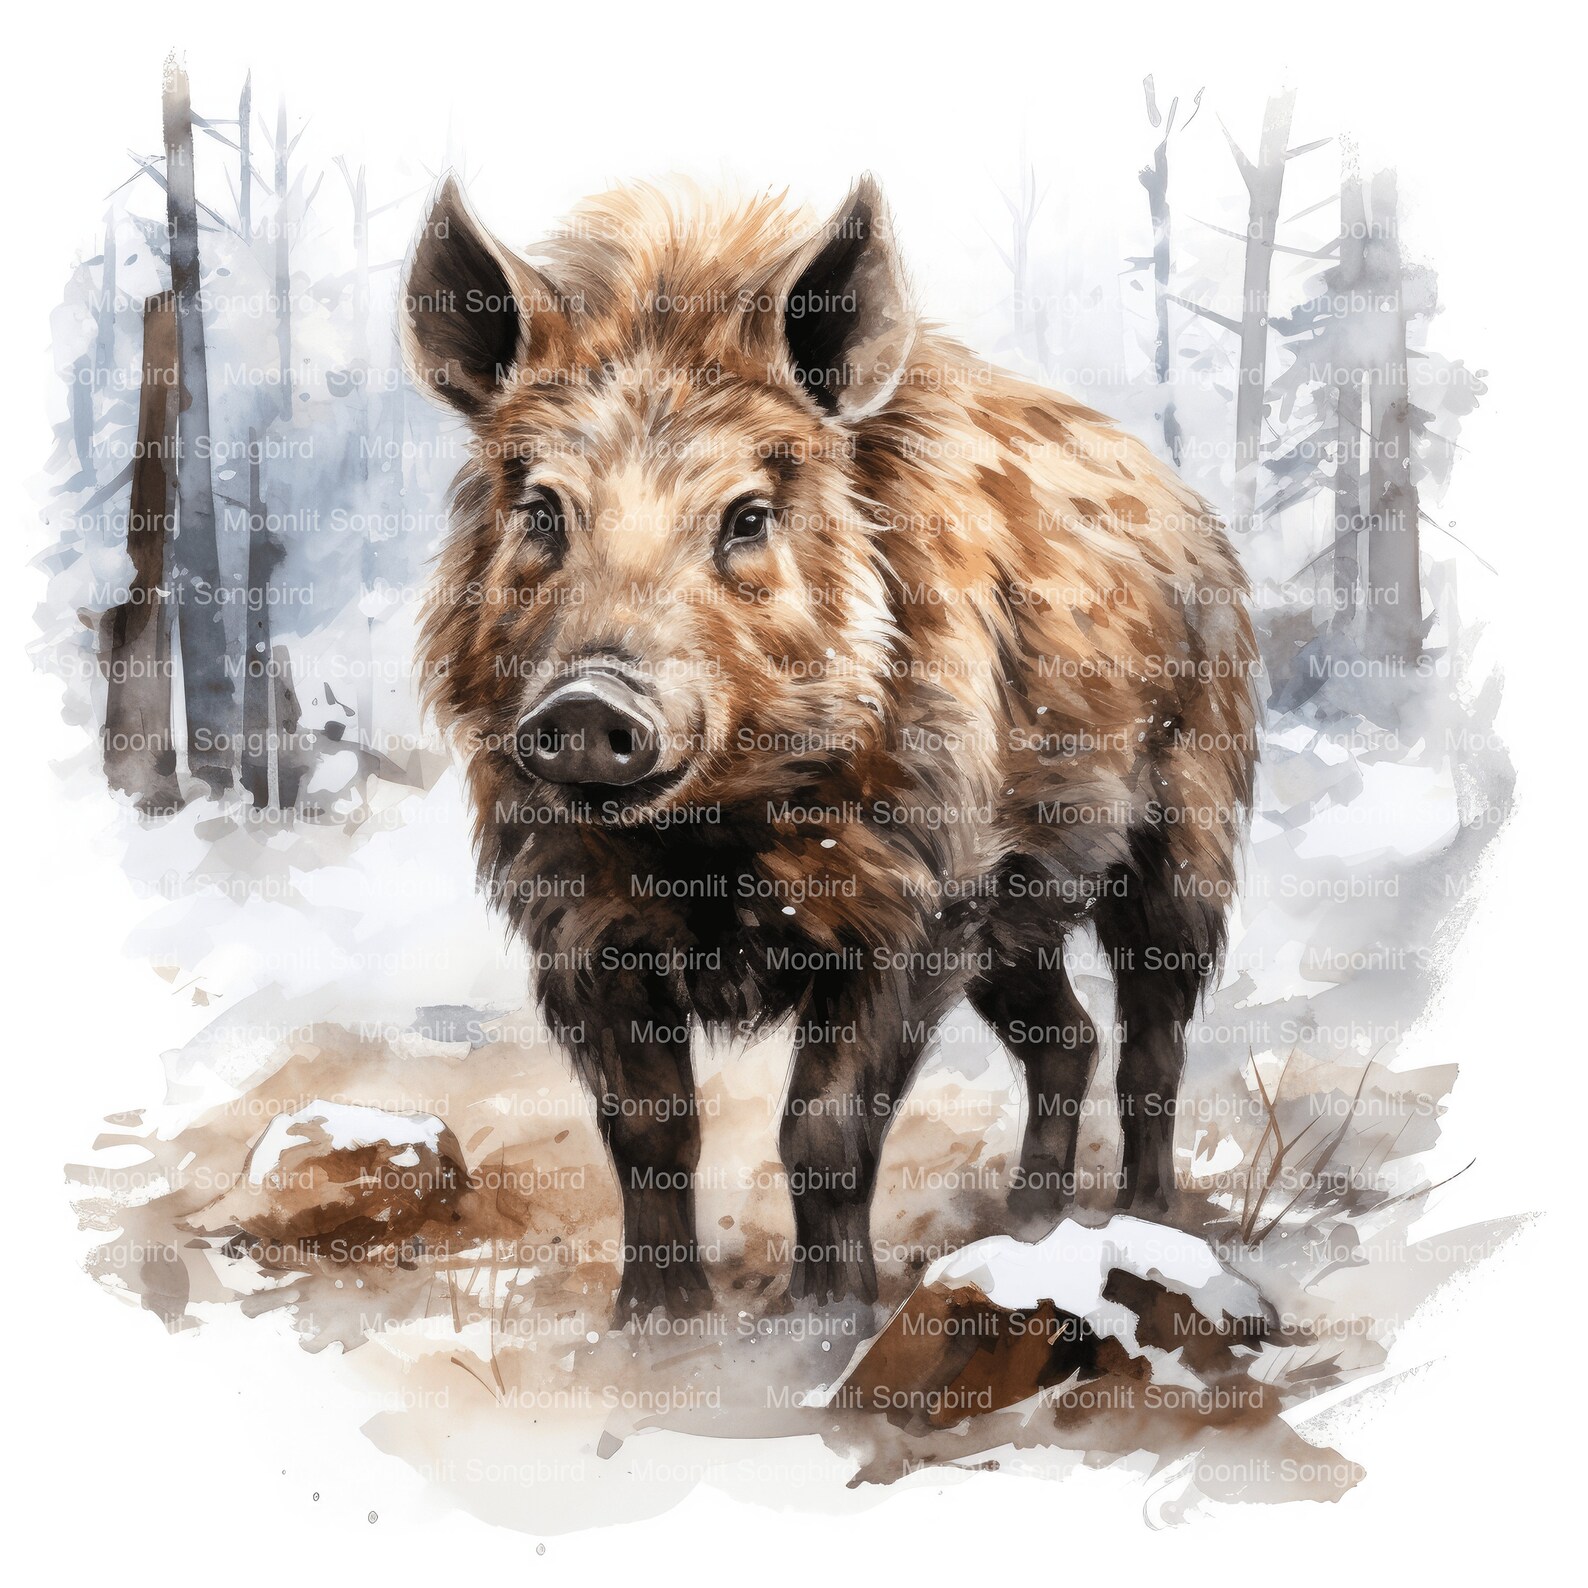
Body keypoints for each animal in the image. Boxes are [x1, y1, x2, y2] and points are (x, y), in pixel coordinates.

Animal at [400, 174, 1259, 1322]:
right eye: (542, 509)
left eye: (746, 515)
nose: (586, 701)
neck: (709, 846)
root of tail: (1193, 511)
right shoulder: (572, 920)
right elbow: (648, 1133)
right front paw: (659, 1324)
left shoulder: (911, 902)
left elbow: (825, 1128)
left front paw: (828, 1313)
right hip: (1016, 911)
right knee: (1067, 1036)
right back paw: (1032, 1224)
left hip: (1186, 822)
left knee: (1153, 1036)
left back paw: (1145, 1216)